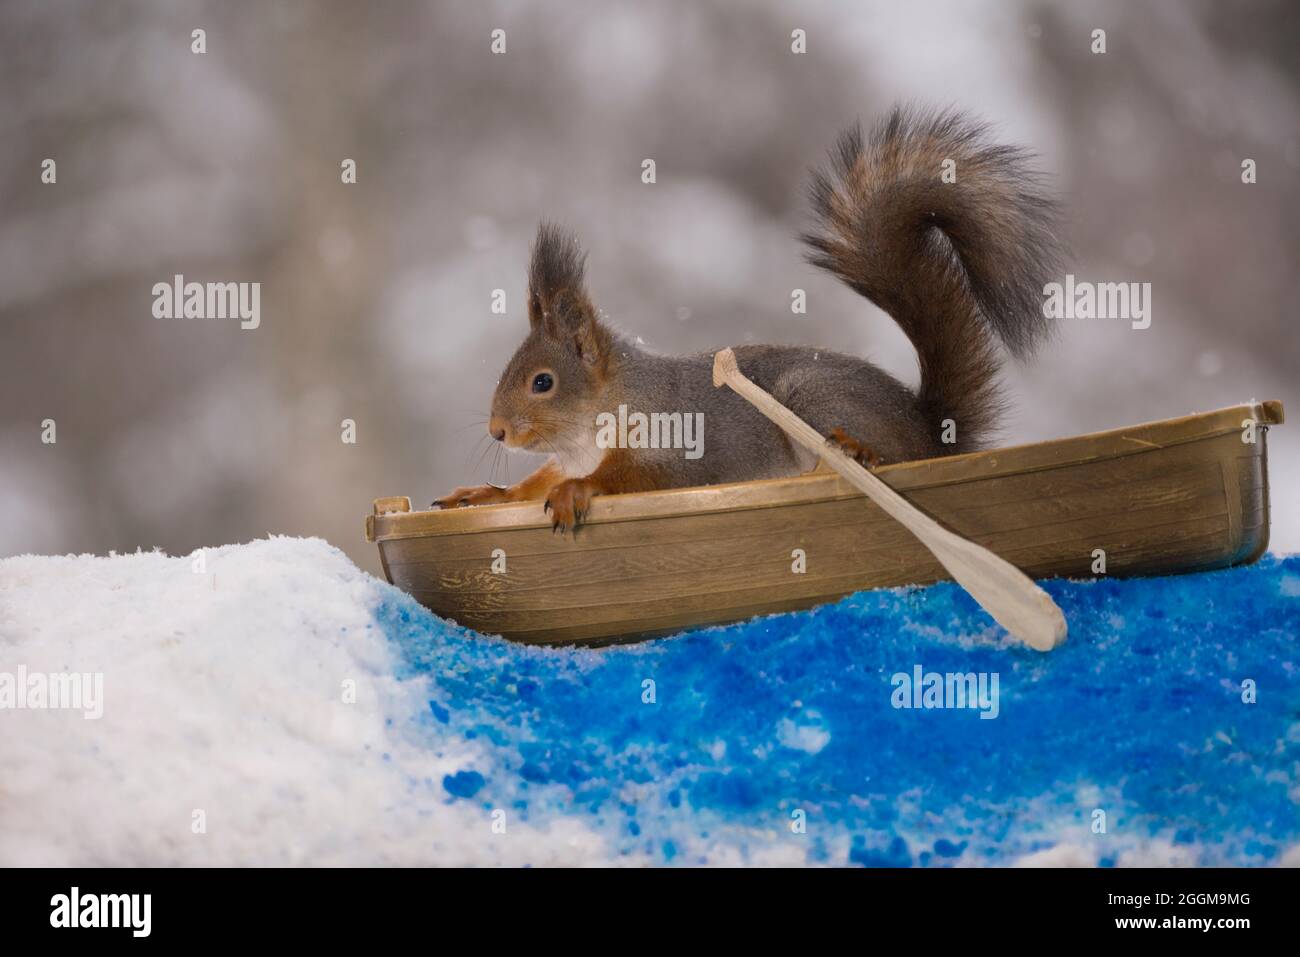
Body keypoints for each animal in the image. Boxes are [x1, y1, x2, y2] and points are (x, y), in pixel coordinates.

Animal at [435, 106, 1062, 534]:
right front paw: (484, 495)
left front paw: (576, 491)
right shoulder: (561, 456)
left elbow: (628, 478)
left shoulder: (675, 447)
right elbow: (531, 483)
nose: (497, 431)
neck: (591, 425)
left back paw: (841, 461)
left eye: (543, 382)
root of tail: (934, 434)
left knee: (884, 456)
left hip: (815, 398)